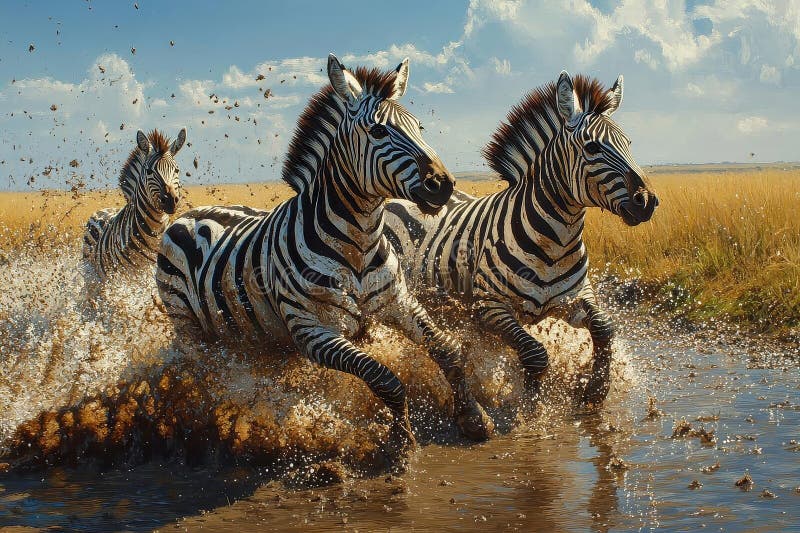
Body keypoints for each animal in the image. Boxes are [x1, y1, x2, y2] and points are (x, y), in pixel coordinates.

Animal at [155, 55, 494, 459]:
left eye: (419, 127)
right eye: (378, 132)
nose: (442, 185)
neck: (359, 246)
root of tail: (188, 214)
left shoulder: (398, 301)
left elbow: (448, 351)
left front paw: (474, 418)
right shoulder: (313, 330)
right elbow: (384, 378)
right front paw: (400, 442)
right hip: (187, 328)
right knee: (200, 375)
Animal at [384, 72, 658, 405]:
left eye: (628, 143)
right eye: (592, 147)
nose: (647, 201)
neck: (555, 243)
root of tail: (398, 198)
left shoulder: (575, 297)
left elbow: (604, 327)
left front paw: (596, 389)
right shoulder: (488, 307)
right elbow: (535, 353)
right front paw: (530, 408)